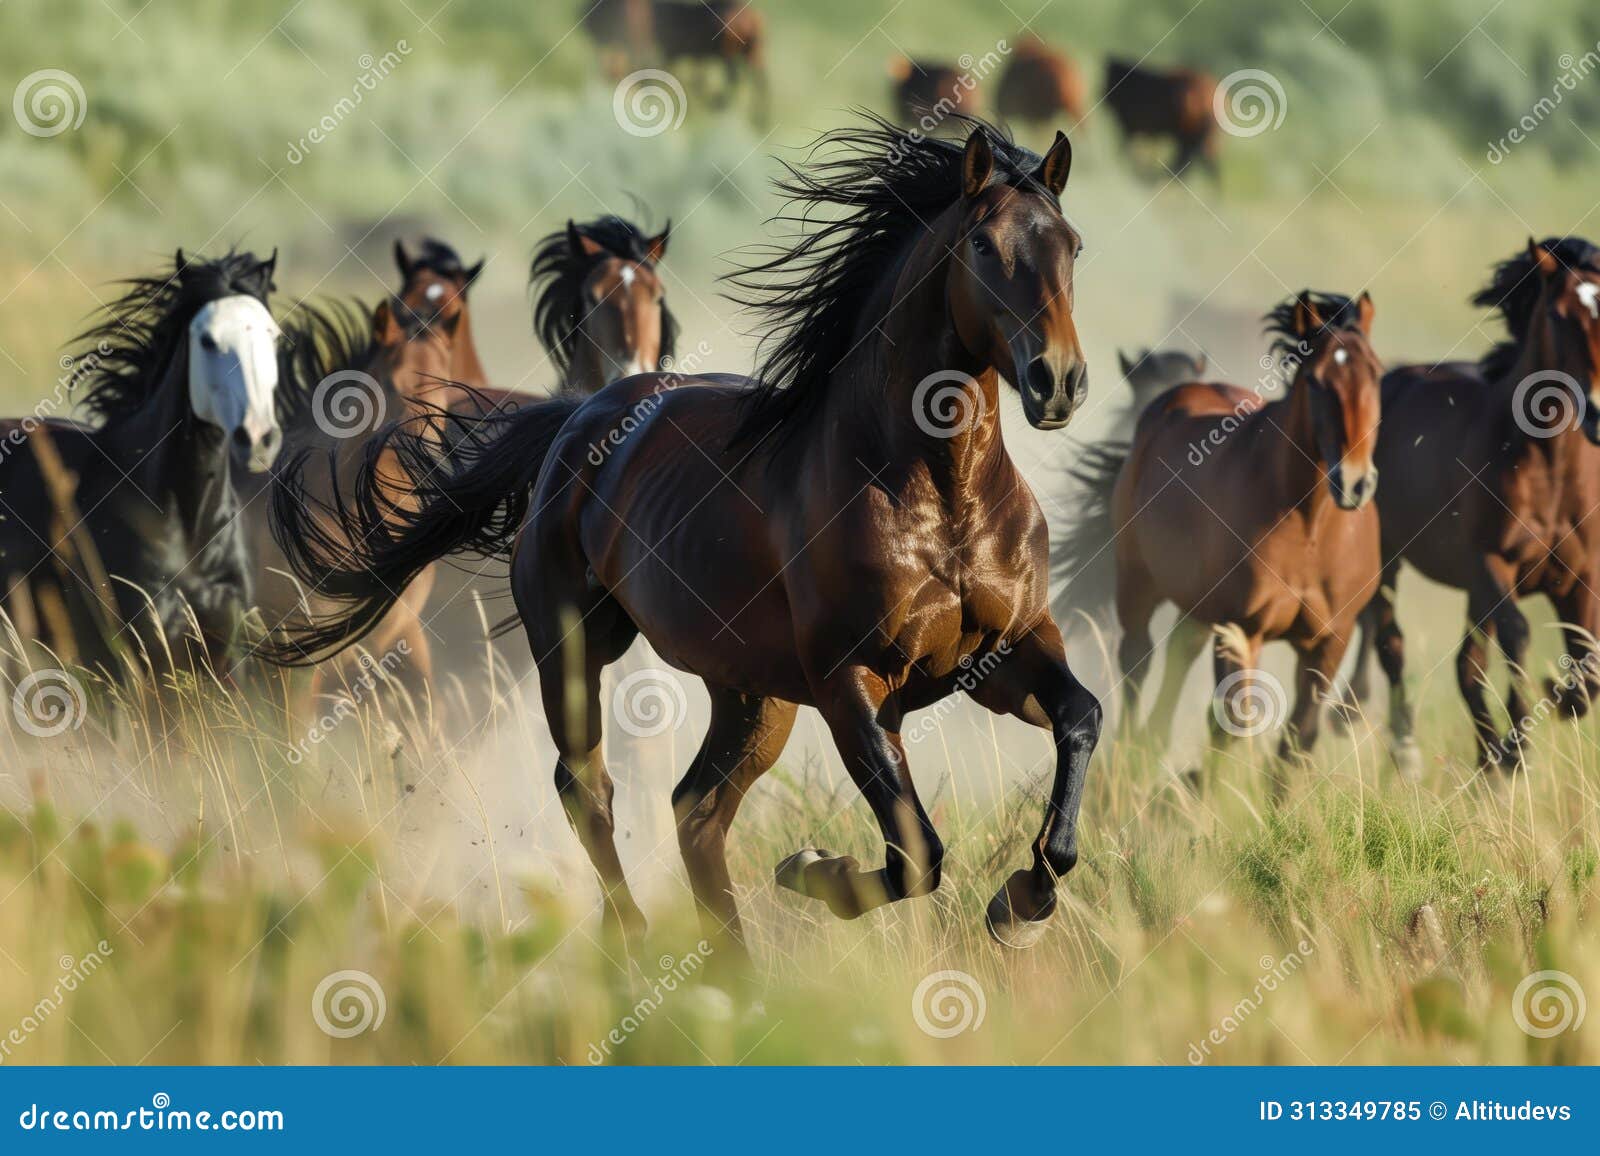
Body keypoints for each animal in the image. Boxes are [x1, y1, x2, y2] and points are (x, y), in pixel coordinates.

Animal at [262, 119, 1099, 961]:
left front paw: (1023, 899)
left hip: (752, 696)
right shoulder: (852, 684)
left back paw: (732, 964)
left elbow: (1080, 719)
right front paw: (814, 870)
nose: (1057, 380)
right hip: (575, 648)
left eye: (1073, 244)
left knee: (695, 810)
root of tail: (577, 417)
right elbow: (916, 853)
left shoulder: (1005, 651)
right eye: (984, 245)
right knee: (590, 787)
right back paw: (634, 937)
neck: (939, 497)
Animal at [1071, 292, 1382, 775]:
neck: (1310, 531)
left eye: (1376, 374)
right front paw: (1196, 789)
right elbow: (1230, 721)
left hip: (1197, 606)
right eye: (1315, 382)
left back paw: (1151, 745)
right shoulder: (1241, 630)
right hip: (1138, 583)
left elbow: (1299, 737)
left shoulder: (1331, 640)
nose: (1354, 482)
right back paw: (1129, 757)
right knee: (1137, 661)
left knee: (1180, 651)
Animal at [1341, 238, 1600, 772]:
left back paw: (1486, 758)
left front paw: (1559, 701)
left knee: (1466, 664)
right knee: (1393, 644)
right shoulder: (1491, 563)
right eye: (1560, 315)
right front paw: (1520, 741)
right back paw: (1411, 752)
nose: (1599, 413)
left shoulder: (1581, 574)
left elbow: (1587, 657)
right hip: (1388, 561)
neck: (1549, 468)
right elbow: (1519, 633)